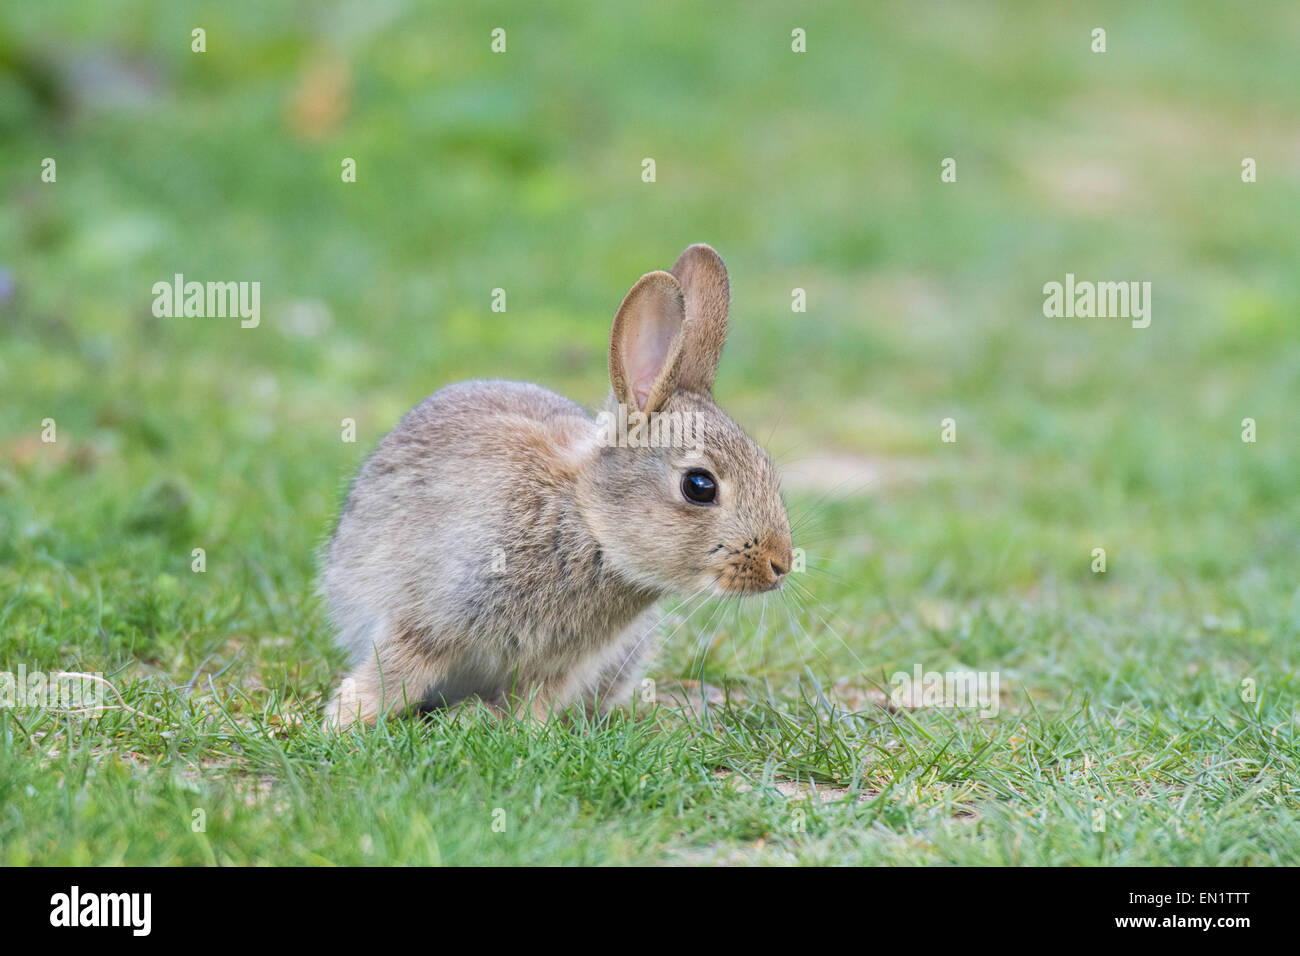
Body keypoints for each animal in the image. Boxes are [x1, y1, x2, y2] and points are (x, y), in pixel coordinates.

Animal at [321, 243, 793, 728]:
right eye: (699, 486)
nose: (781, 564)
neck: (587, 523)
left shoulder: (562, 665)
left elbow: (537, 700)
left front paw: (521, 731)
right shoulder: (430, 617)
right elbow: (396, 671)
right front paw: (343, 720)